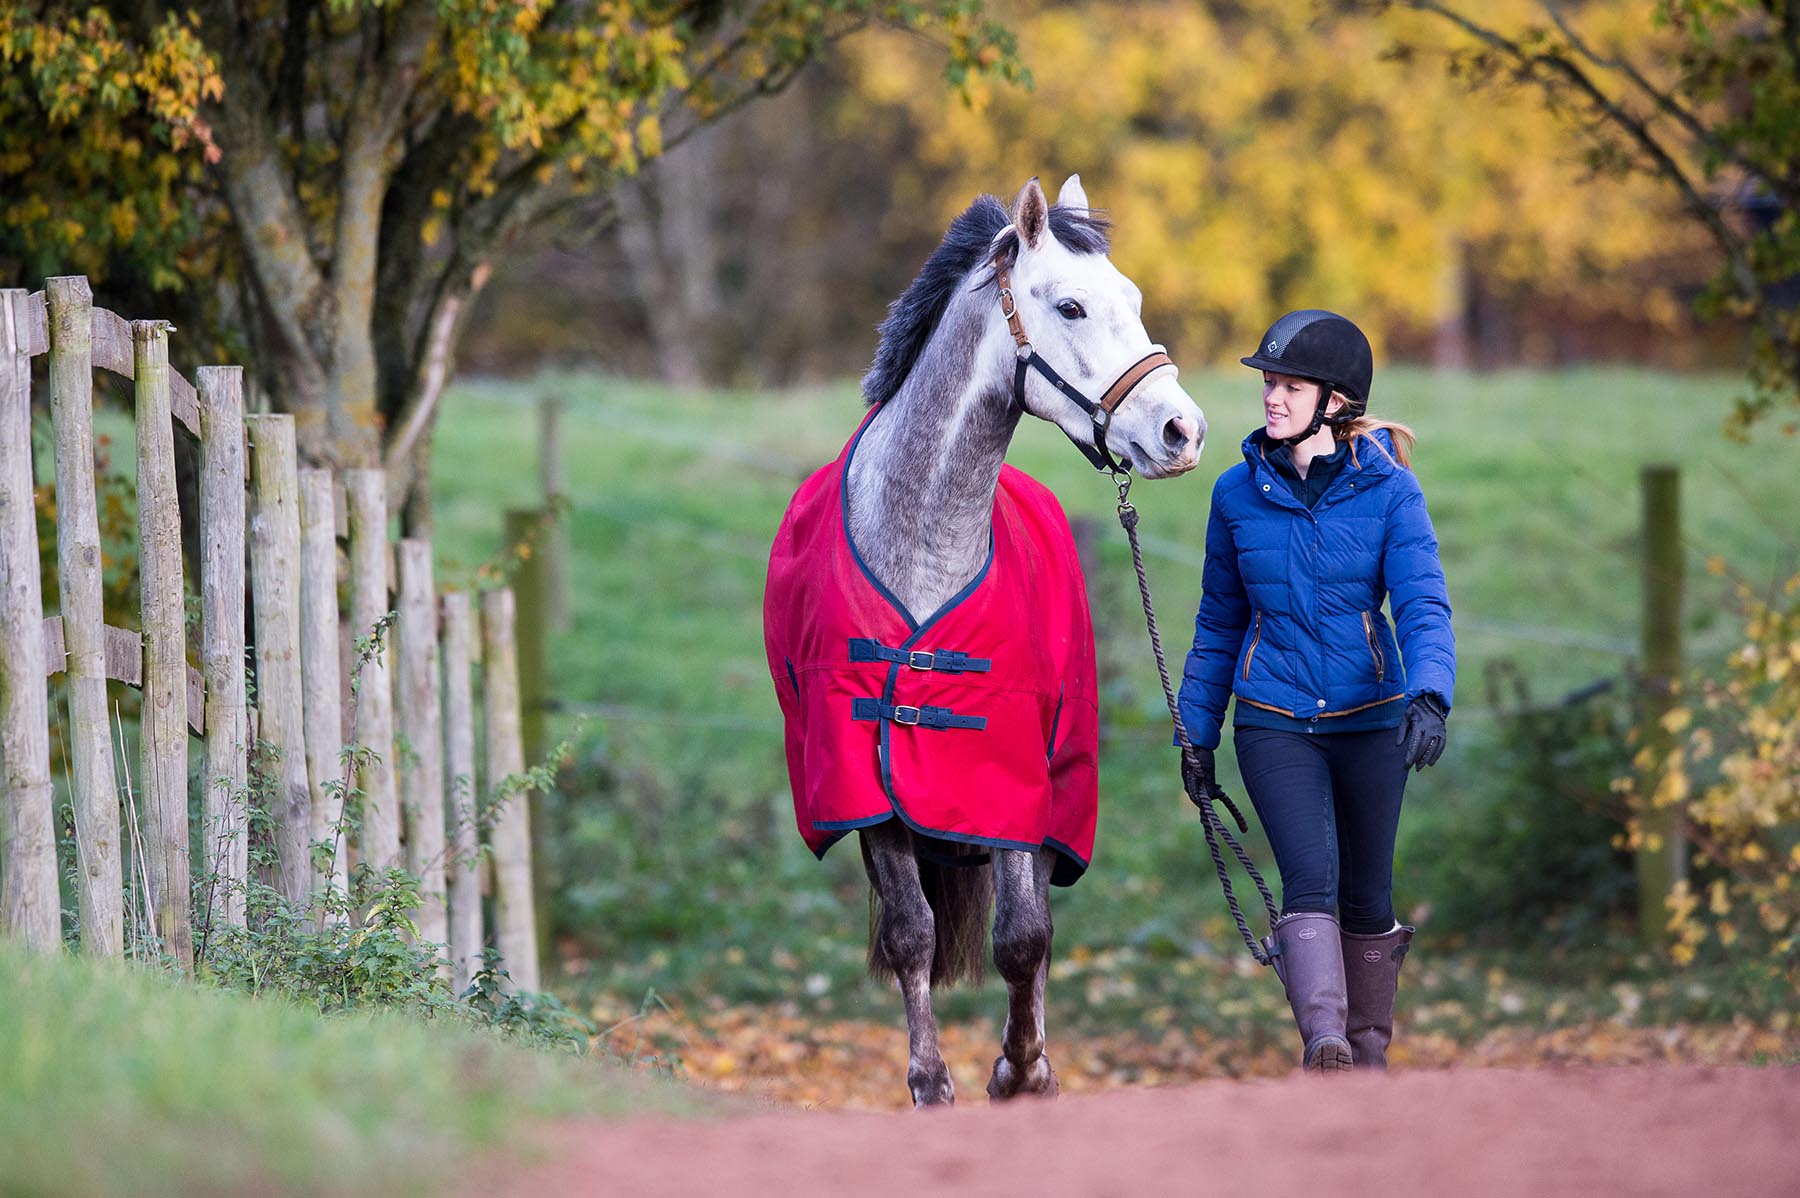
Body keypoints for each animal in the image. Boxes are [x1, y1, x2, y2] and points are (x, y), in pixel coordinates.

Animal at [764, 175, 1205, 1107]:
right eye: (1070, 305)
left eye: (1133, 299)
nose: (1182, 431)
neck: (927, 541)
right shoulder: (865, 781)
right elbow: (911, 935)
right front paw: (932, 1082)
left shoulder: (1011, 781)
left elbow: (1024, 938)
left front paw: (1023, 1068)